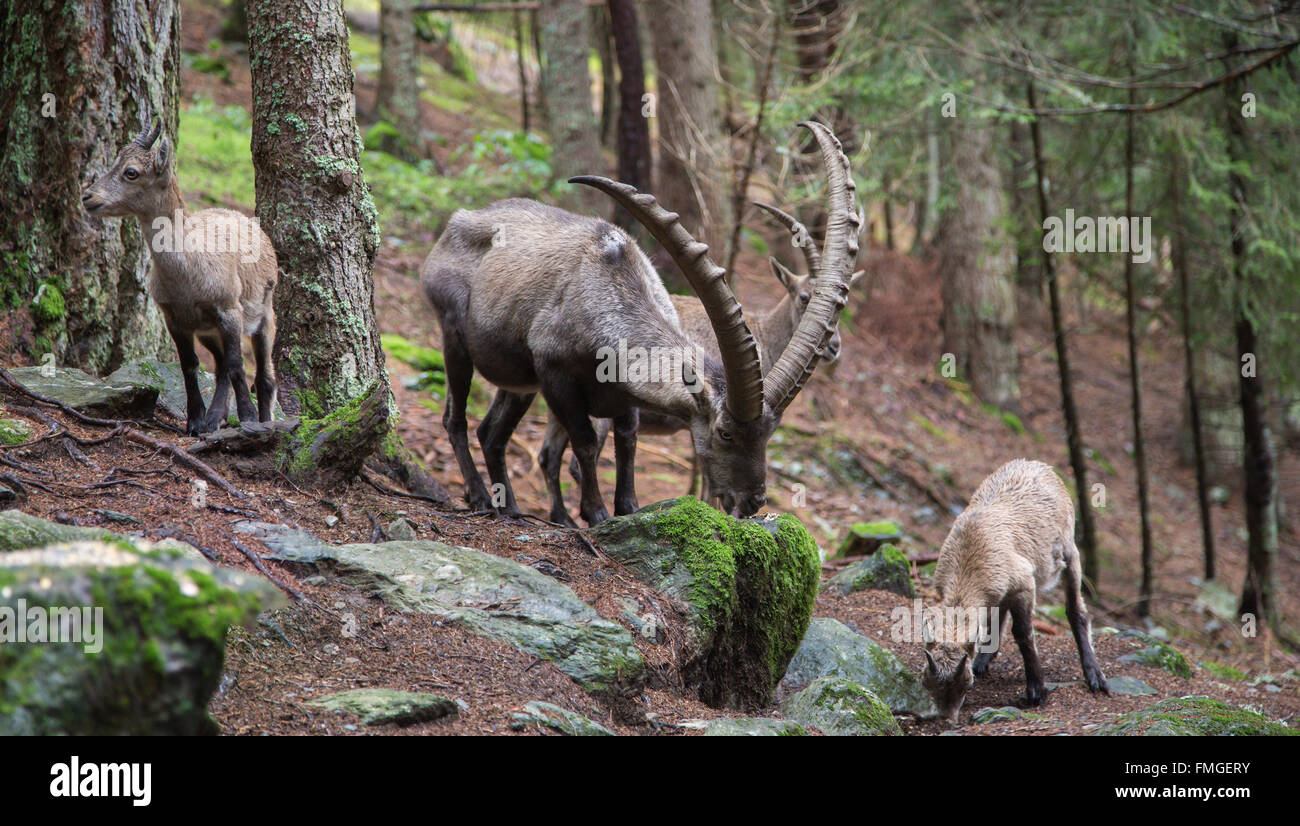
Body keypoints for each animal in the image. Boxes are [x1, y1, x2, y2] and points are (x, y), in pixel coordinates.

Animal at [82, 119, 278, 435]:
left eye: (131, 172)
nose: (88, 197)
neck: (188, 270)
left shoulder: (229, 310)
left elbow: (237, 364)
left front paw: (248, 418)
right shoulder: (175, 318)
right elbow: (190, 365)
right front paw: (195, 421)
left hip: (264, 313)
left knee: (263, 374)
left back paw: (263, 418)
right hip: (208, 331)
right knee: (219, 365)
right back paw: (215, 418)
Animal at [537, 208, 864, 526]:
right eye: (804, 297)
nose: (834, 347)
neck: (764, 337)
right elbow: (713, 485)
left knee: (547, 455)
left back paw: (562, 518)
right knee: (574, 461)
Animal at [922, 458, 1108, 722]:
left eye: (967, 684)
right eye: (926, 682)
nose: (947, 717)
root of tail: (1037, 464)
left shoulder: (1024, 584)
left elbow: (1023, 632)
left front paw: (1036, 691)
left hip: (1069, 552)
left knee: (1075, 610)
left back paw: (1094, 675)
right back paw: (984, 659)